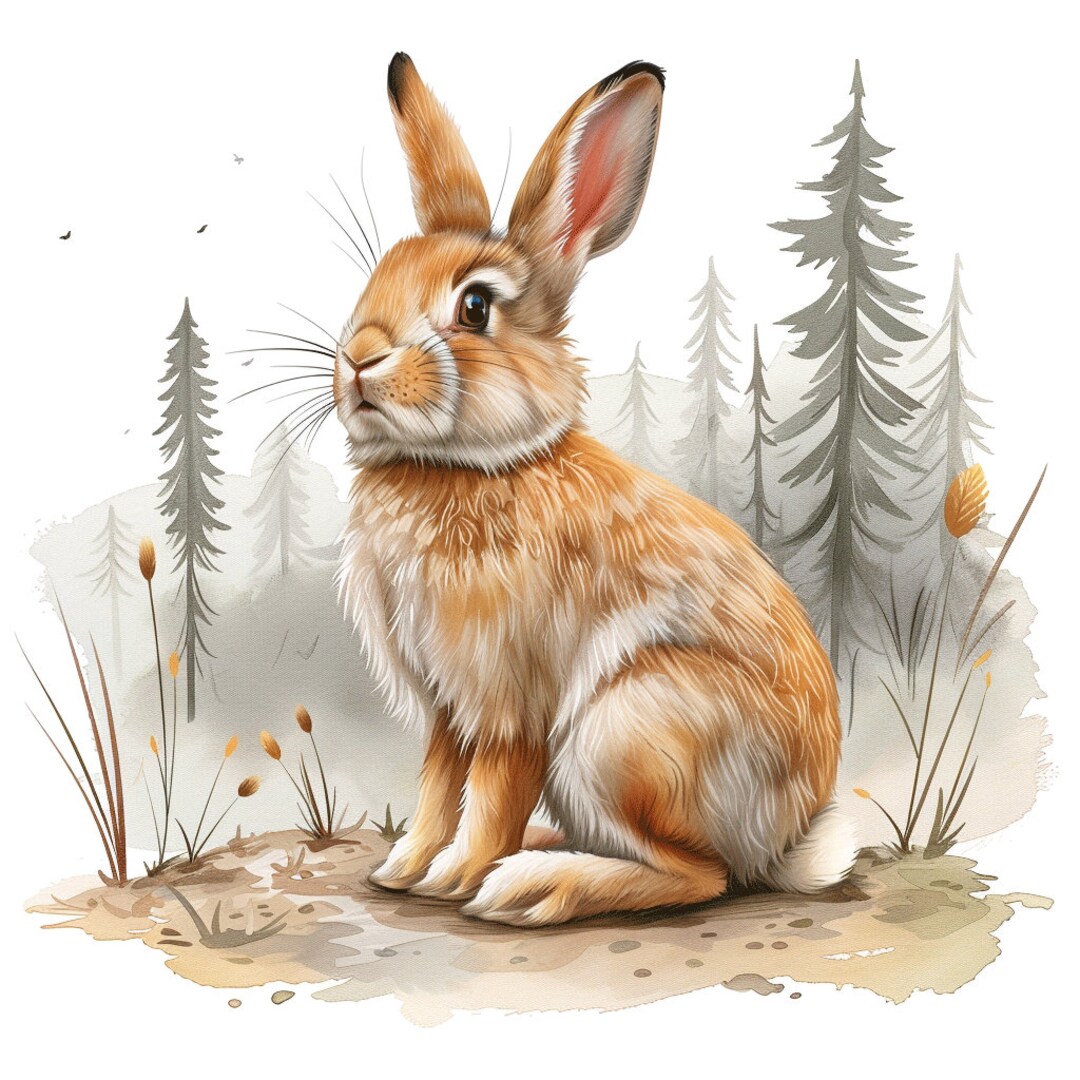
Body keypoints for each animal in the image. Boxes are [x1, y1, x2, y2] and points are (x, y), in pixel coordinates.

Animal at [333, 52, 855, 927]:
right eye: (375, 279)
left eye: (475, 306)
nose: (360, 356)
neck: (468, 466)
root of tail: (789, 837)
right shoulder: (446, 708)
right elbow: (439, 784)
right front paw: (405, 870)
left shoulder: (510, 703)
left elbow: (491, 793)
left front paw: (456, 878)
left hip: (624, 734)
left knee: (702, 876)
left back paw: (531, 884)